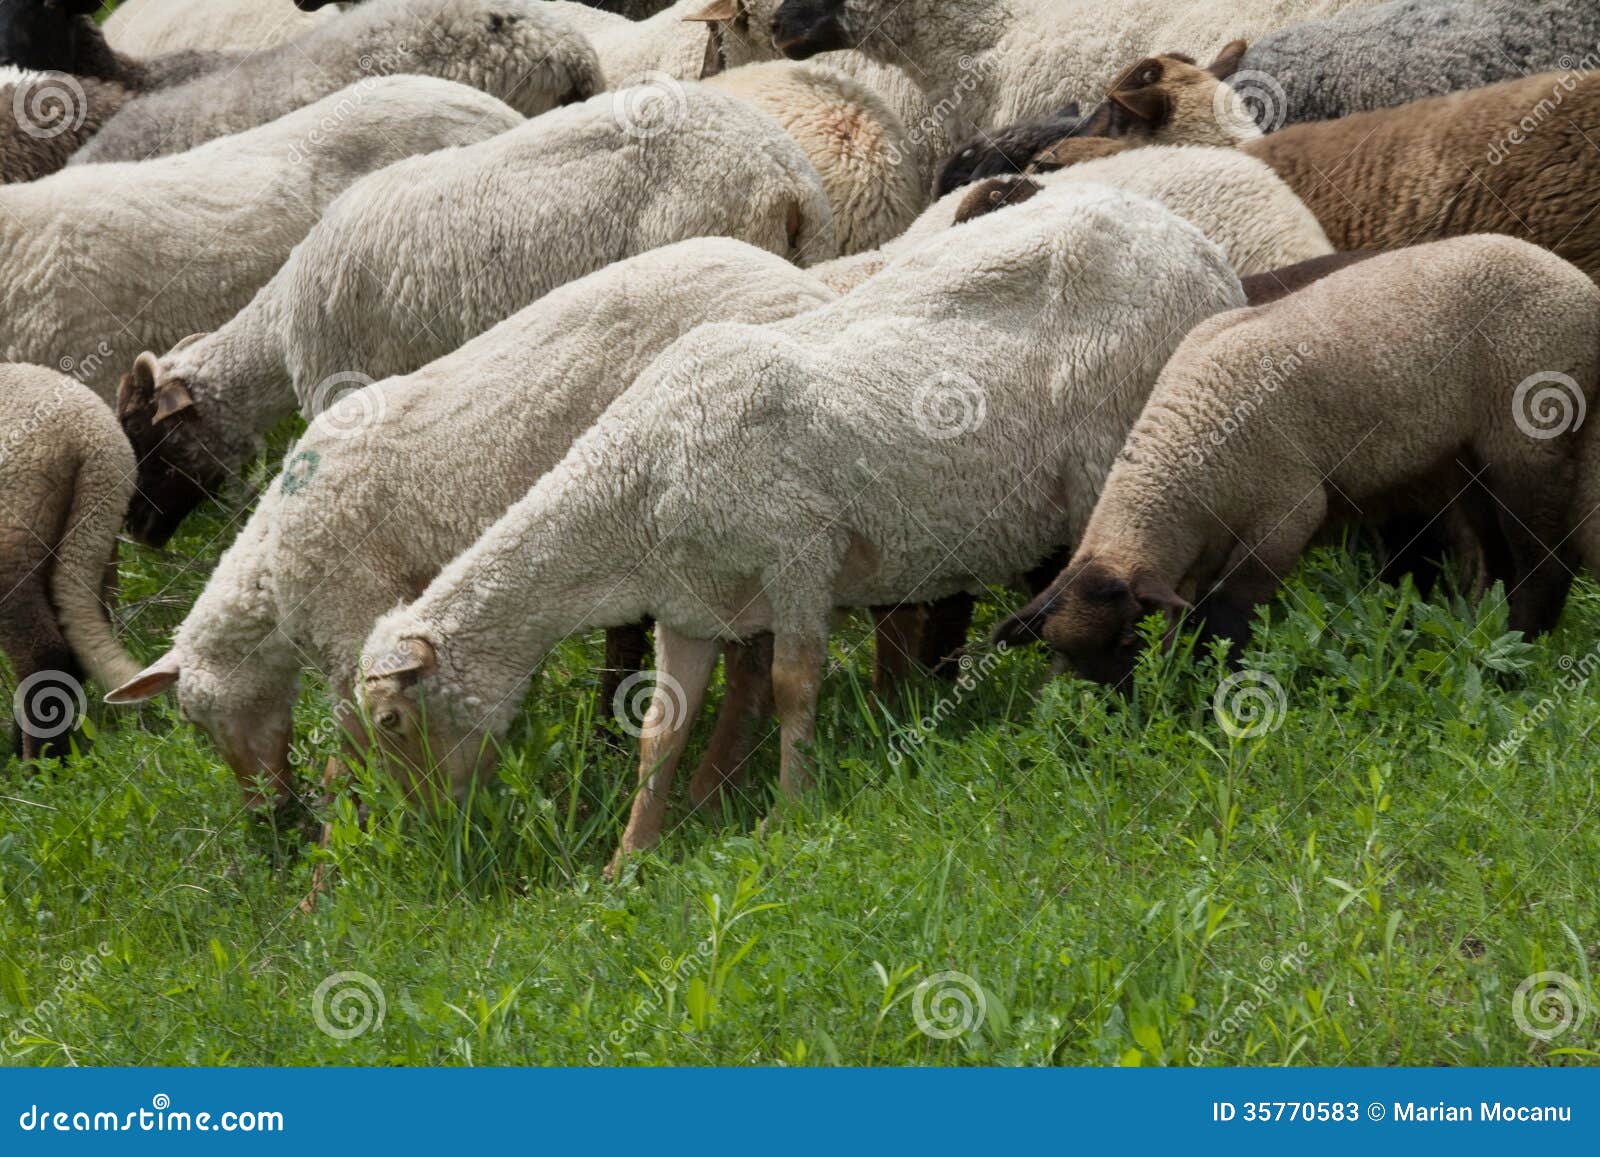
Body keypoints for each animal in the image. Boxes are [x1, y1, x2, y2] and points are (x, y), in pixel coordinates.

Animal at [105, 238, 835, 807]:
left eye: (197, 719)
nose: (270, 814)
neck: (270, 560)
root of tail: (795, 278)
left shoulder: (354, 620)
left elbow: (355, 751)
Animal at [347, 182, 1244, 868]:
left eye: (392, 721)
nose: (431, 832)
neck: (636, 485)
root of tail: (1202, 250)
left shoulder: (800, 553)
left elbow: (790, 685)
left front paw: (791, 808)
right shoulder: (692, 604)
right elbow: (662, 729)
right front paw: (628, 859)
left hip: (1125, 452)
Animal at [995, 235, 1600, 686]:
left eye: (1128, 639)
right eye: (1067, 656)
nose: (1117, 709)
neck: (1187, 457)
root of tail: (1577, 283)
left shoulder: (1286, 510)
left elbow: (1229, 611)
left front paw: (1214, 685)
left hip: (1531, 437)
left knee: (1547, 559)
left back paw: (1520, 652)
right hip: (1468, 456)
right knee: (1500, 558)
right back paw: (1488, 633)